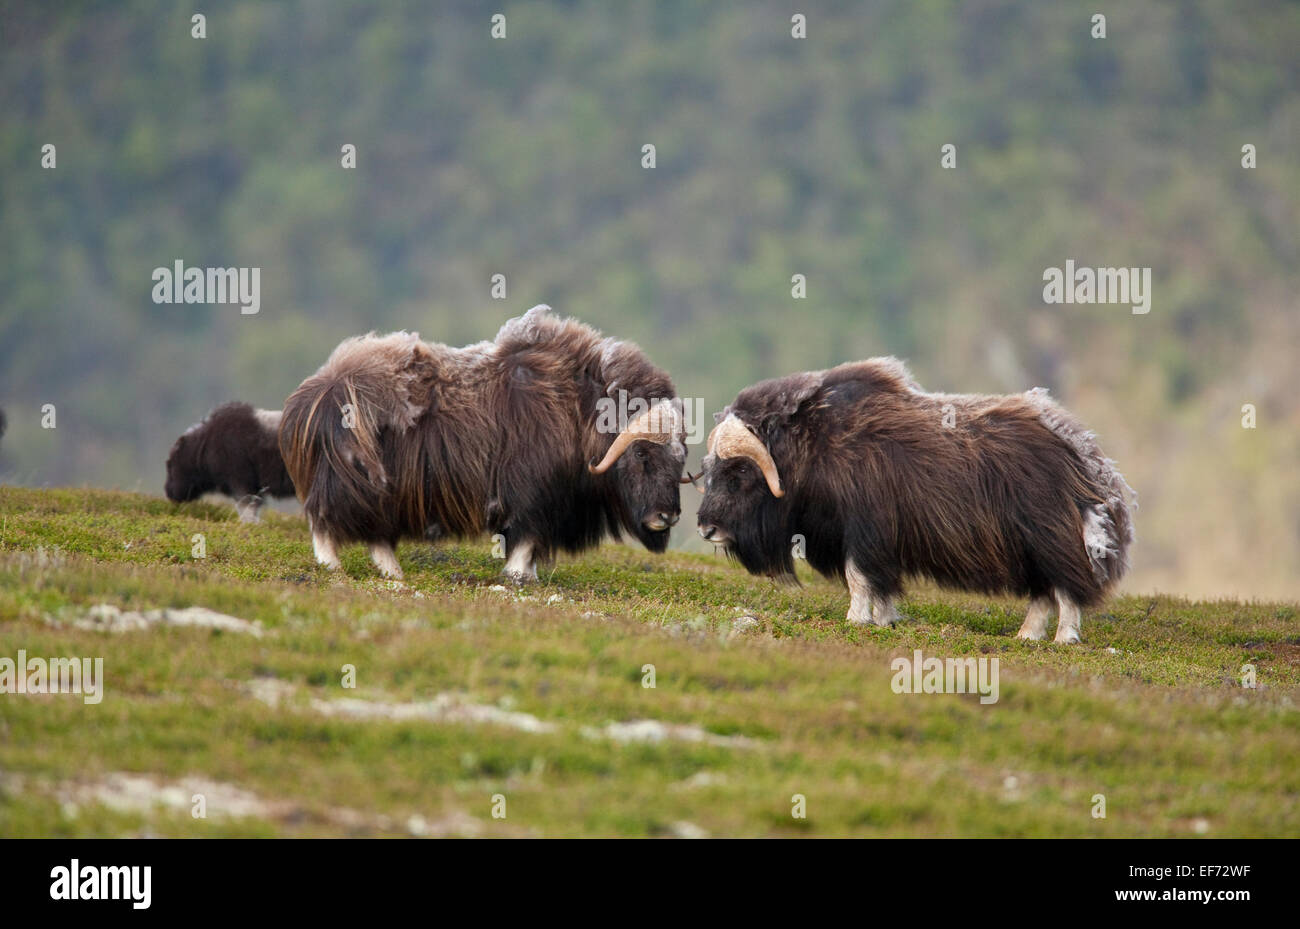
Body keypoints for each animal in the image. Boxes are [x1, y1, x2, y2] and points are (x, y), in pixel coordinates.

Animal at [279, 305, 688, 581]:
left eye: (680, 457)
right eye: (641, 452)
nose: (667, 517)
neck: (580, 412)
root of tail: (315, 391)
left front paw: (529, 576)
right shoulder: (532, 493)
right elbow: (526, 536)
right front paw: (519, 575)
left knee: (373, 530)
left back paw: (393, 572)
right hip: (352, 477)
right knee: (324, 516)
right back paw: (334, 565)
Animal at [694, 358, 1134, 643]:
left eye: (740, 471)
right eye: (709, 469)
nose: (705, 528)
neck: (812, 447)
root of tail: (1090, 461)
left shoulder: (864, 531)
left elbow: (858, 577)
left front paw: (855, 620)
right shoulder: (877, 541)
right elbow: (882, 583)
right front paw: (885, 620)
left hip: (1051, 540)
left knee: (1066, 590)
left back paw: (1063, 638)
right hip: (1028, 551)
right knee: (1042, 594)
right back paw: (1026, 636)